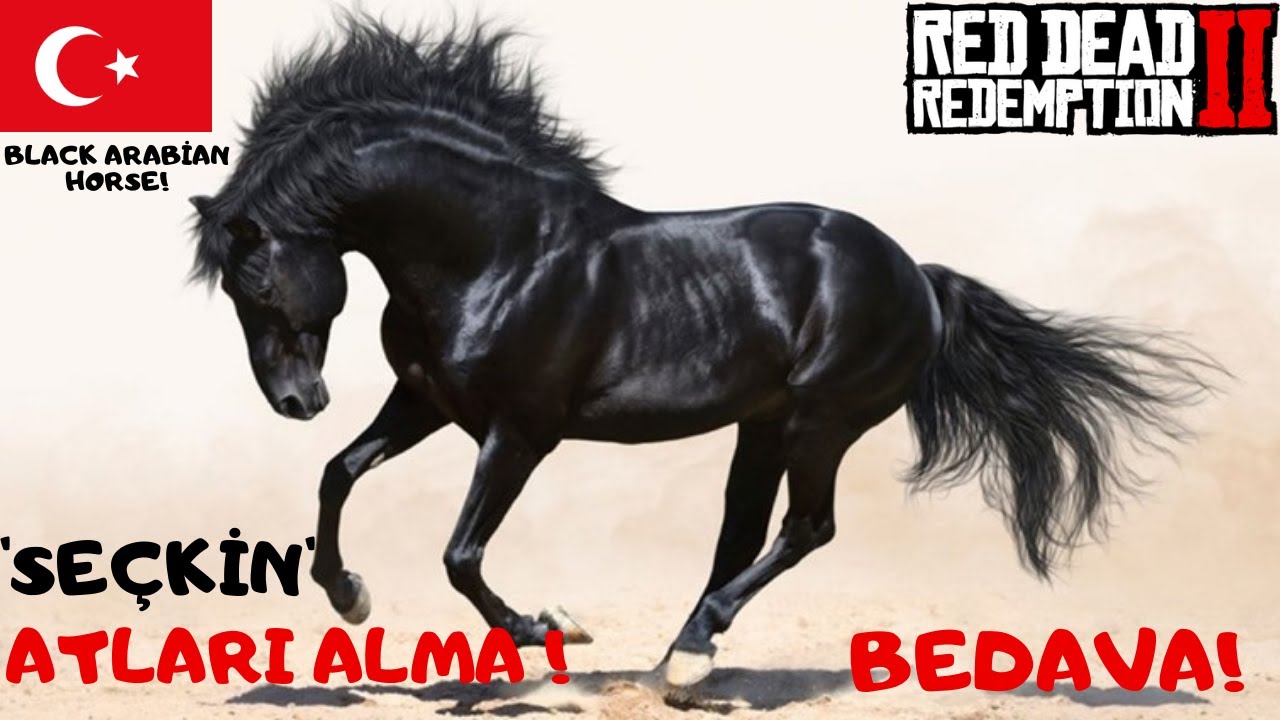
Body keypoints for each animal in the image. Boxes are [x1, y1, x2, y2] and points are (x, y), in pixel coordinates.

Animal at [189, 17, 1217, 687]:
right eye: (233, 293)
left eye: (257, 282)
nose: (296, 401)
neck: (498, 251)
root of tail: (917, 277)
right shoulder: (429, 403)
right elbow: (338, 473)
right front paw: (350, 596)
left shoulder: (519, 433)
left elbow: (460, 553)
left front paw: (546, 632)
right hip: (762, 426)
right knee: (742, 536)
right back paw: (675, 664)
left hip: (820, 421)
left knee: (805, 530)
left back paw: (687, 655)